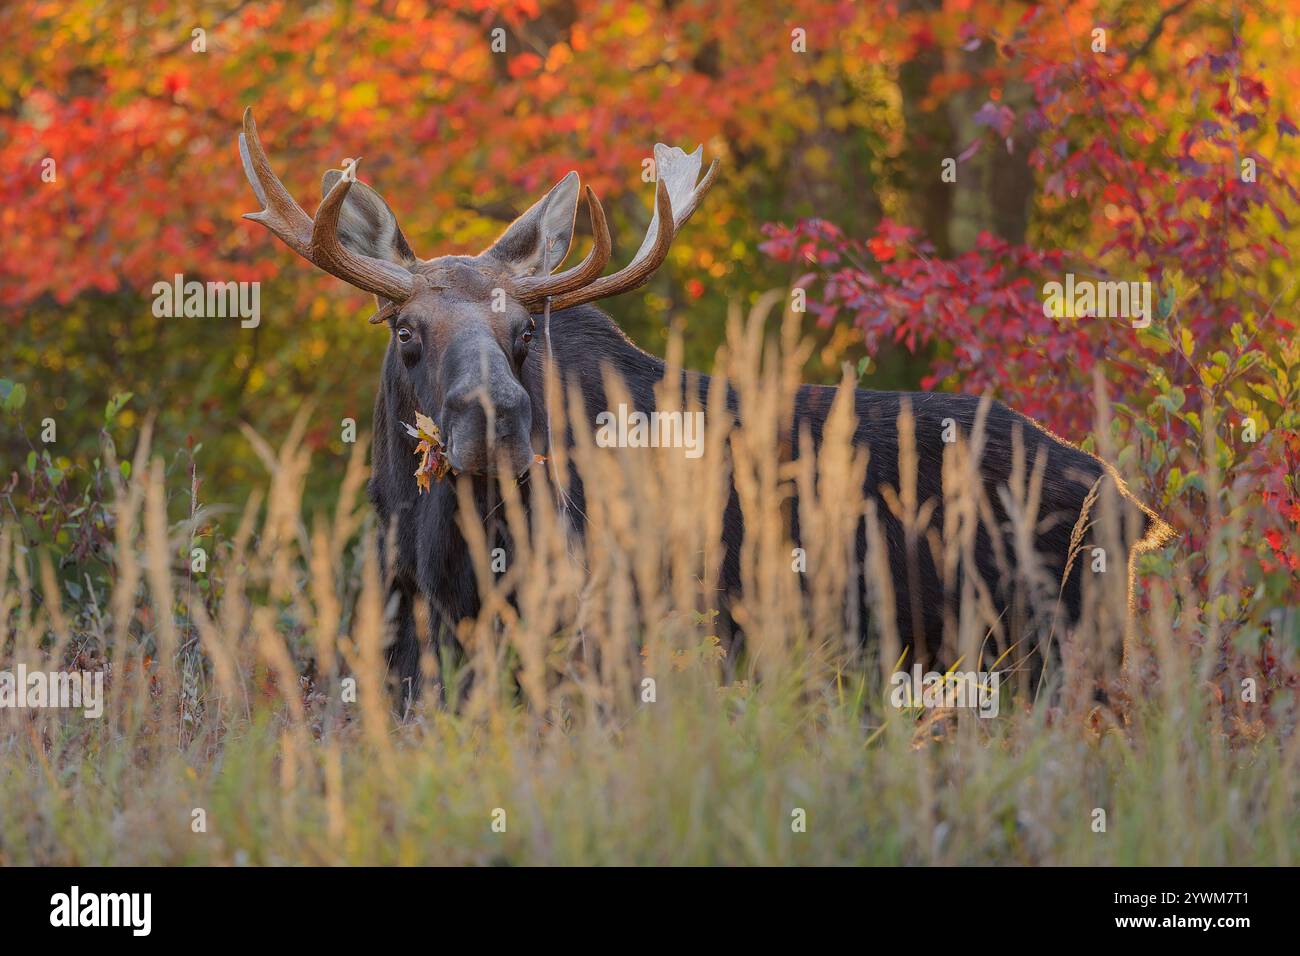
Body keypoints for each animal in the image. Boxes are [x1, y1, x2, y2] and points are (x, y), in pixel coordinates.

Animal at [236, 108, 1170, 704]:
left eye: (526, 333)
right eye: (406, 331)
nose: (495, 420)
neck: (438, 550)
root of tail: (1129, 500)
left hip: (1061, 644)